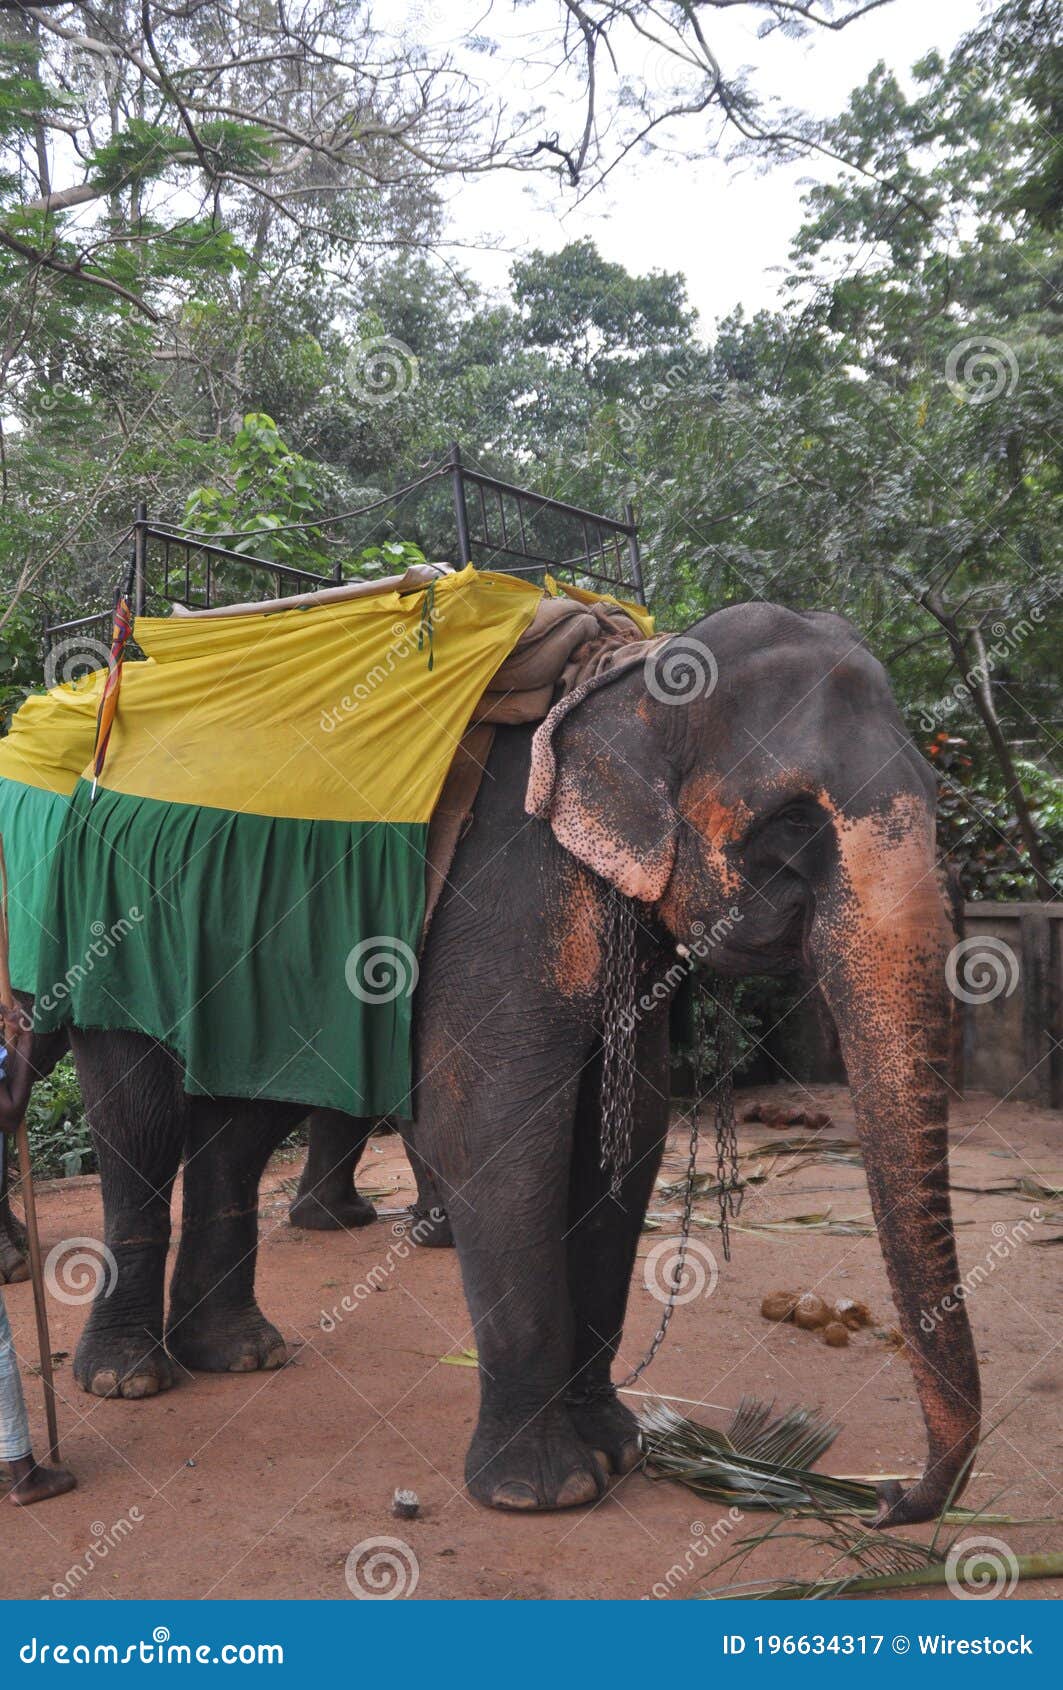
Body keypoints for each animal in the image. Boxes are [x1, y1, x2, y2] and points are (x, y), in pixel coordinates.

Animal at [56, 601, 978, 1527]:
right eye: (793, 818)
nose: (886, 1498)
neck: (628, 677)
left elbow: (627, 1136)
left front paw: (619, 1451)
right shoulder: (500, 891)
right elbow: (496, 1129)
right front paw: (543, 1493)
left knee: (243, 1116)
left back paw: (236, 1354)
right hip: (104, 935)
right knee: (137, 1117)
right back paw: (128, 1379)